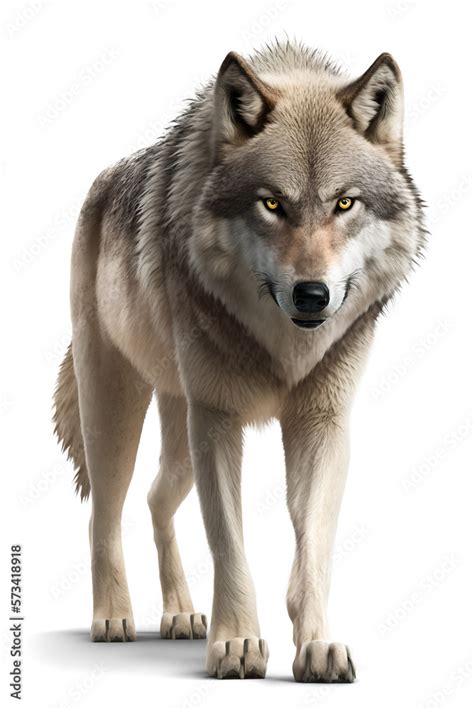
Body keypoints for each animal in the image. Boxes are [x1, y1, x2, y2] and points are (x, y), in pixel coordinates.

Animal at [53, 41, 425, 682]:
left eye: (344, 203)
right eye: (271, 204)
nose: (312, 295)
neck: (283, 349)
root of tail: (102, 181)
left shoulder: (321, 424)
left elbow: (314, 548)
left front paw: (318, 645)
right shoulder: (218, 420)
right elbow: (229, 543)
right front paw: (236, 643)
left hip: (180, 436)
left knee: (155, 499)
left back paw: (179, 614)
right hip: (117, 414)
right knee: (105, 510)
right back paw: (113, 617)